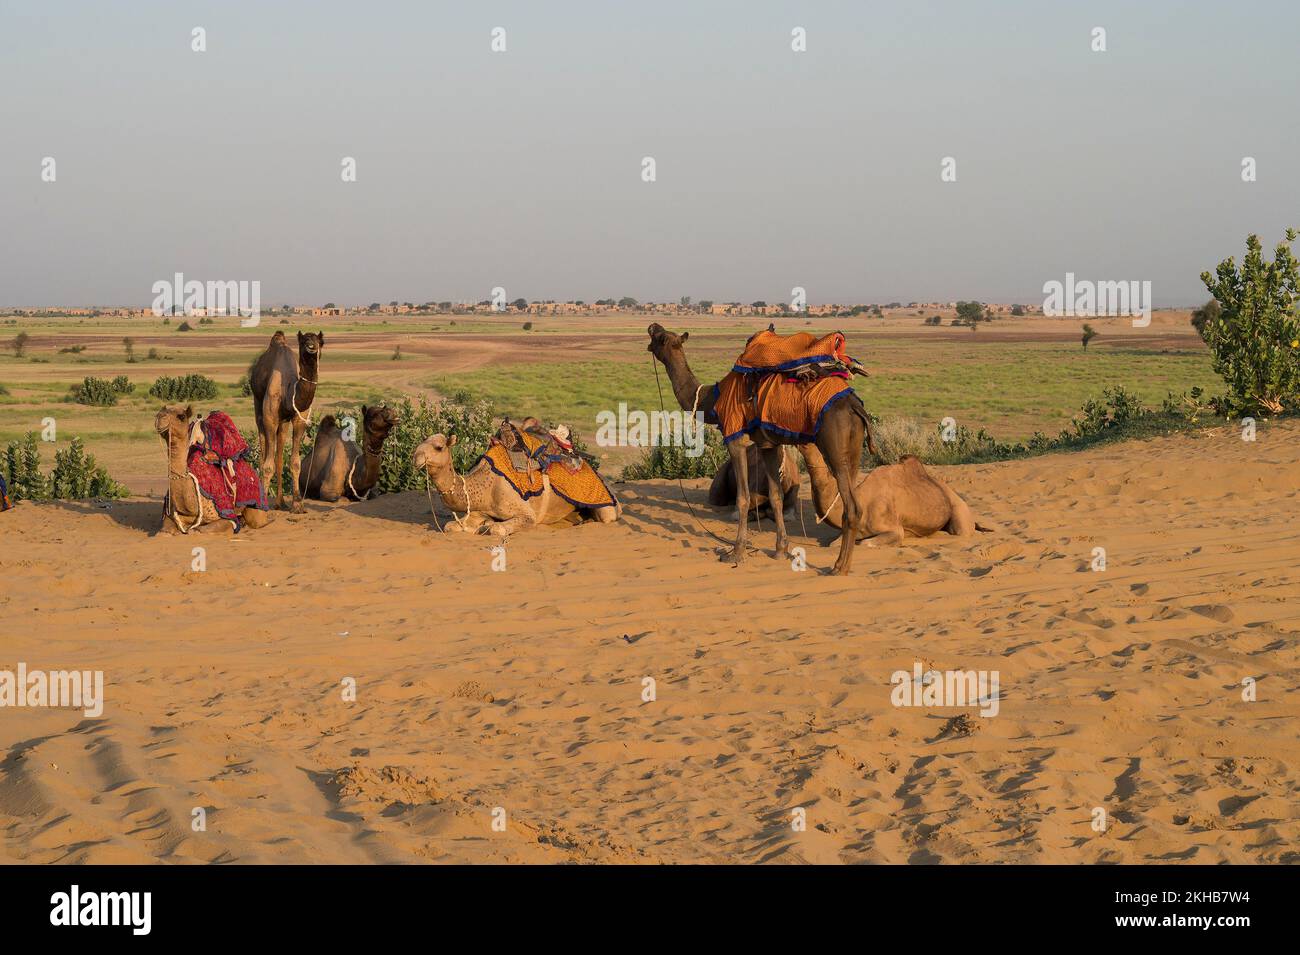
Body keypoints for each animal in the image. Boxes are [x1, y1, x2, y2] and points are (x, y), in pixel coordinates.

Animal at [155, 404, 272, 534]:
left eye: (181, 416)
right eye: (159, 412)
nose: (160, 417)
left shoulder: (225, 514)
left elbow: (200, 530)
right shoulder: (170, 516)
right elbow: (165, 531)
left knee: (257, 521)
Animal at [250, 330, 323, 512]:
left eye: (320, 341)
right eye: (304, 340)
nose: (311, 347)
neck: (288, 391)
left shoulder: (299, 419)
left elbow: (295, 462)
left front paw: (297, 504)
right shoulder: (270, 418)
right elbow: (267, 465)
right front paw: (262, 506)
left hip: (283, 423)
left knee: (279, 453)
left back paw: (280, 502)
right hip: (258, 406)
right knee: (263, 450)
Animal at [411, 432, 621, 537]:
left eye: (439, 447)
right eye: (419, 443)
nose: (416, 458)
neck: (484, 485)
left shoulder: (526, 514)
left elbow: (498, 529)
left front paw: (489, 526)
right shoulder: (479, 510)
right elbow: (449, 526)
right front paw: (482, 524)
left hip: (607, 505)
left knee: (607, 517)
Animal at [647, 323, 875, 574]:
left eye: (661, 337)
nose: (653, 325)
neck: (713, 401)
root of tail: (855, 406)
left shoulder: (734, 440)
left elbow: (743, 498)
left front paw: (736, 553)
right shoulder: (768, 445)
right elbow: (775, 497)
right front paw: (780, 550)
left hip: (834, 447)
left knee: (851, 506)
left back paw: (839, 567)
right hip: (853, 449)